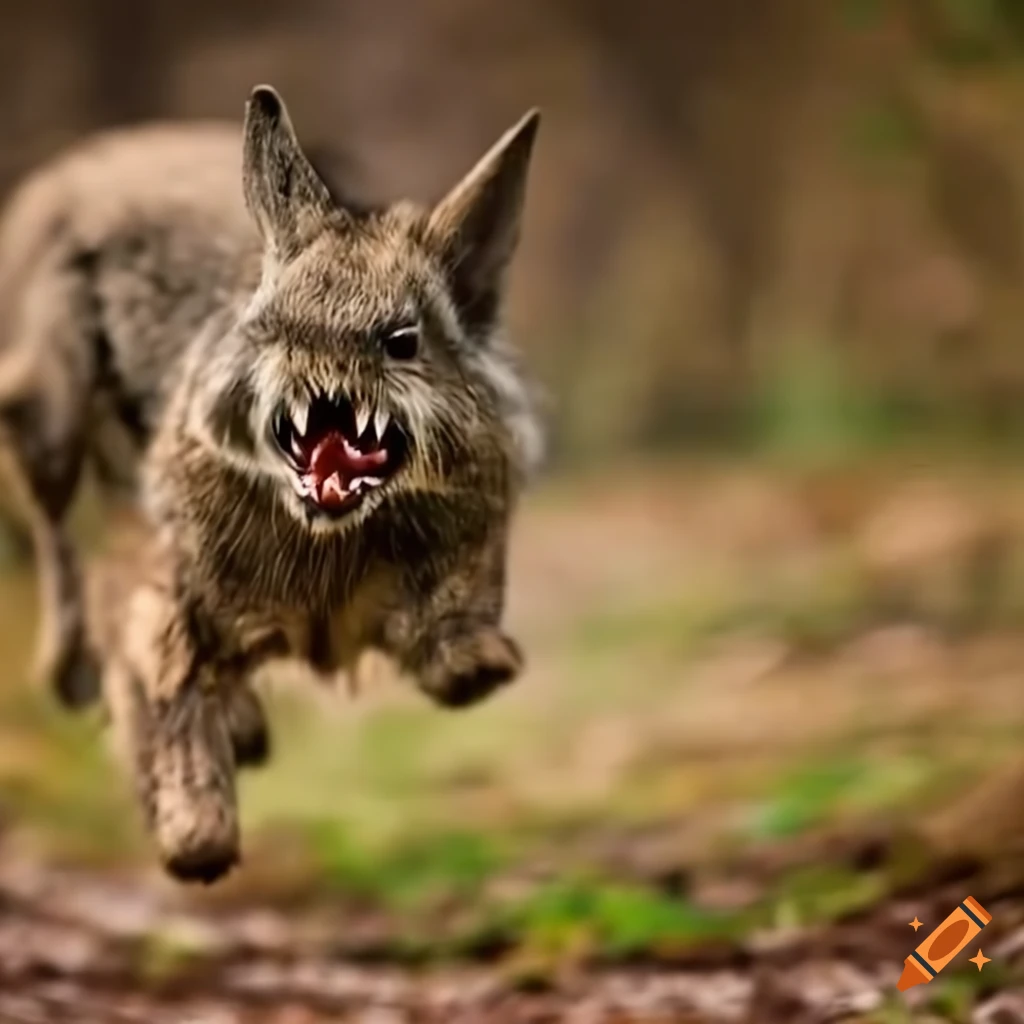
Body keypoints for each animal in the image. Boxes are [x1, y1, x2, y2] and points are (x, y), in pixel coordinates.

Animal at [0, 85, 542, 882]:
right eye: (269, 330)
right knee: (57, 528)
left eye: (402, 341)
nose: (312, 383)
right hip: (52, 411)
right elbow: (159, 681)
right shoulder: (166, 590)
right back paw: (83, 682)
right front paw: (197, 845)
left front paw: (474, 665)